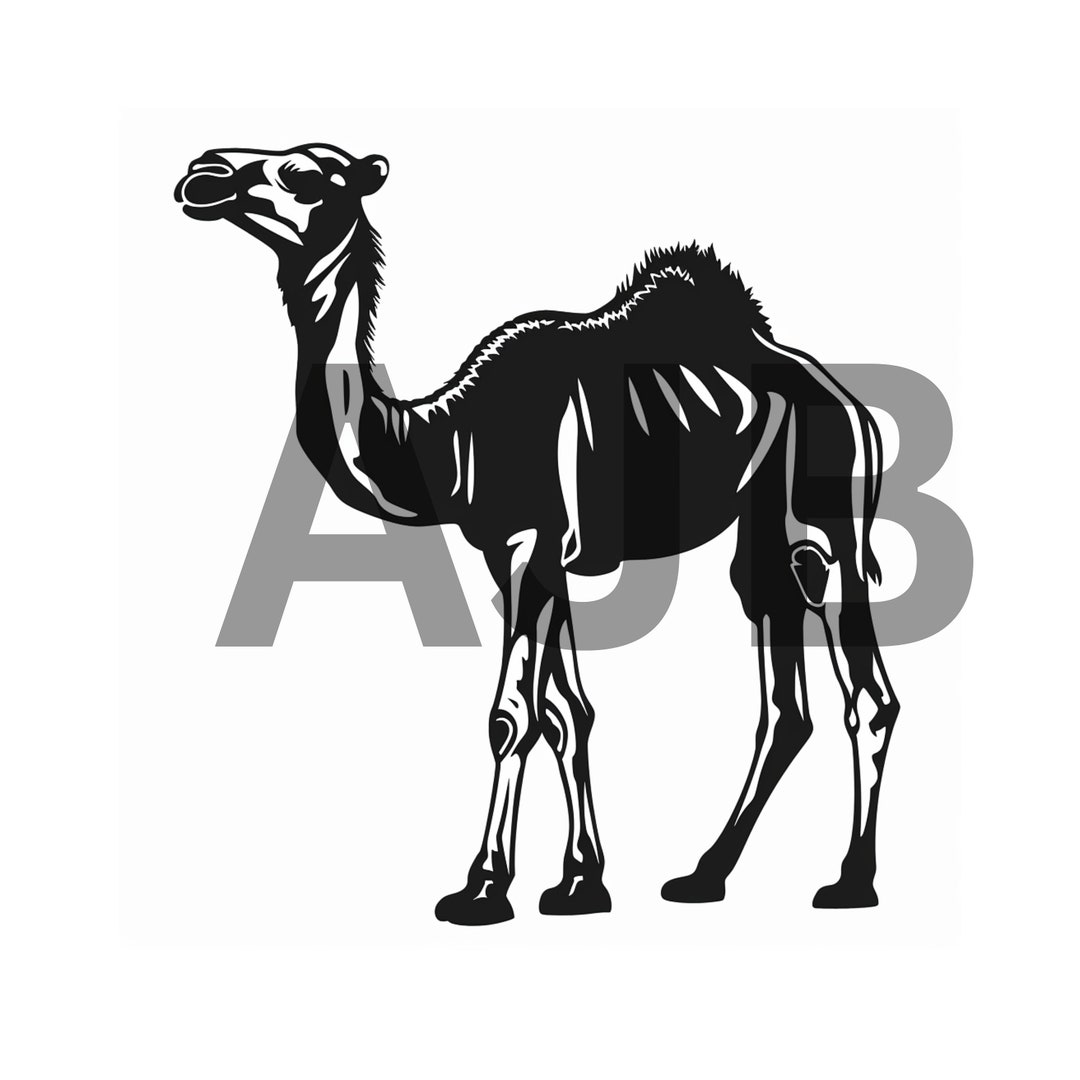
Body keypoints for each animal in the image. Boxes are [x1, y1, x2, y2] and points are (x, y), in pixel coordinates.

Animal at [176, 143, 900, 925]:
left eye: (305, 176)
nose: (203, 175)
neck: (447, 440)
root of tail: (849, 403)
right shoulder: (526, 559)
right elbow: (568, 713)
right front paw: (581, 883)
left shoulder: (530, 547)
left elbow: (511, 715)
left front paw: (482, 888)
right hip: (760, 536)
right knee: (784, 705)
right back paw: (704, 875)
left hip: (828, 516)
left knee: (866, 694)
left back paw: (851, 882)